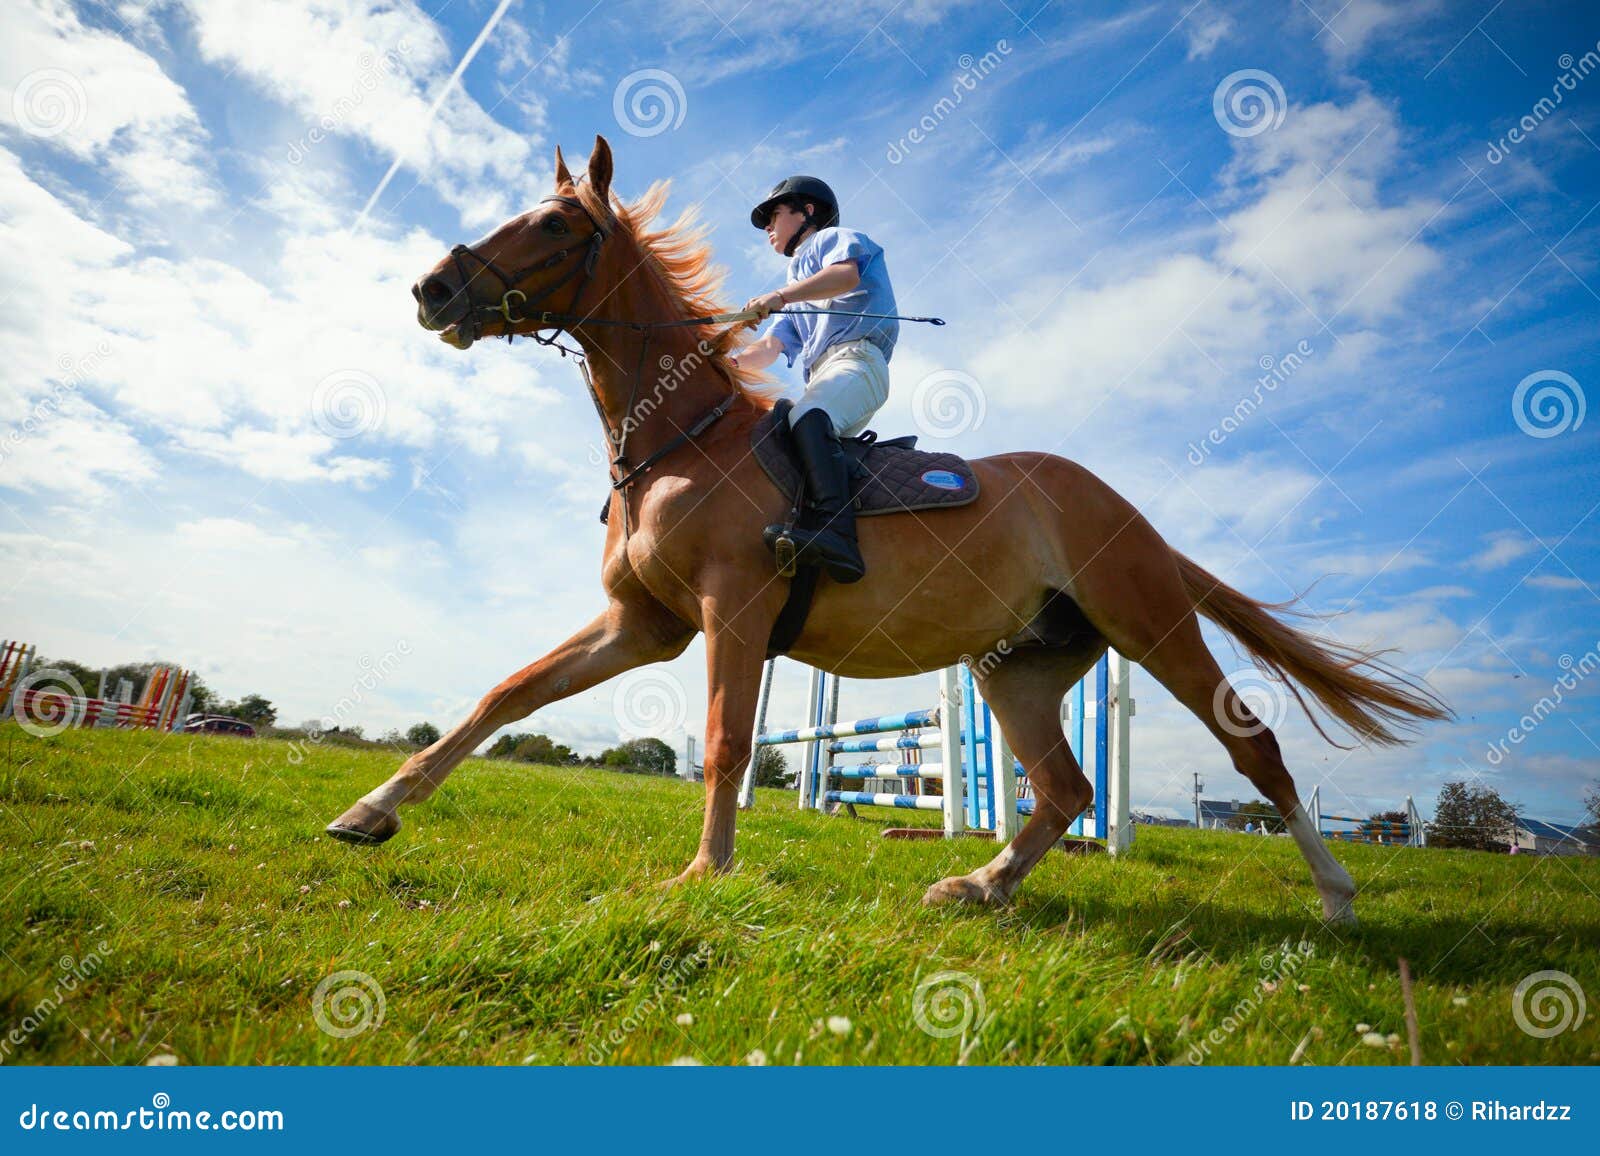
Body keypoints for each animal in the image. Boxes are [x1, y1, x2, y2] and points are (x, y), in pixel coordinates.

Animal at [326, 135, 1450, 925]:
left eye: (557, 225)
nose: (430, 289)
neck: (680, 440)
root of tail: (1119, 505)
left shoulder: (731, 612)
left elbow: (726, 740)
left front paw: (704, 871)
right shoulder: (644, 625)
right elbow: (506, 693)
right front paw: (373, 810)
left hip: (1153, 624)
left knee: (1251, 749)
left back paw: (1337, 894)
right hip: (1019, 667)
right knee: (1063, 787)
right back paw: (981, 886)